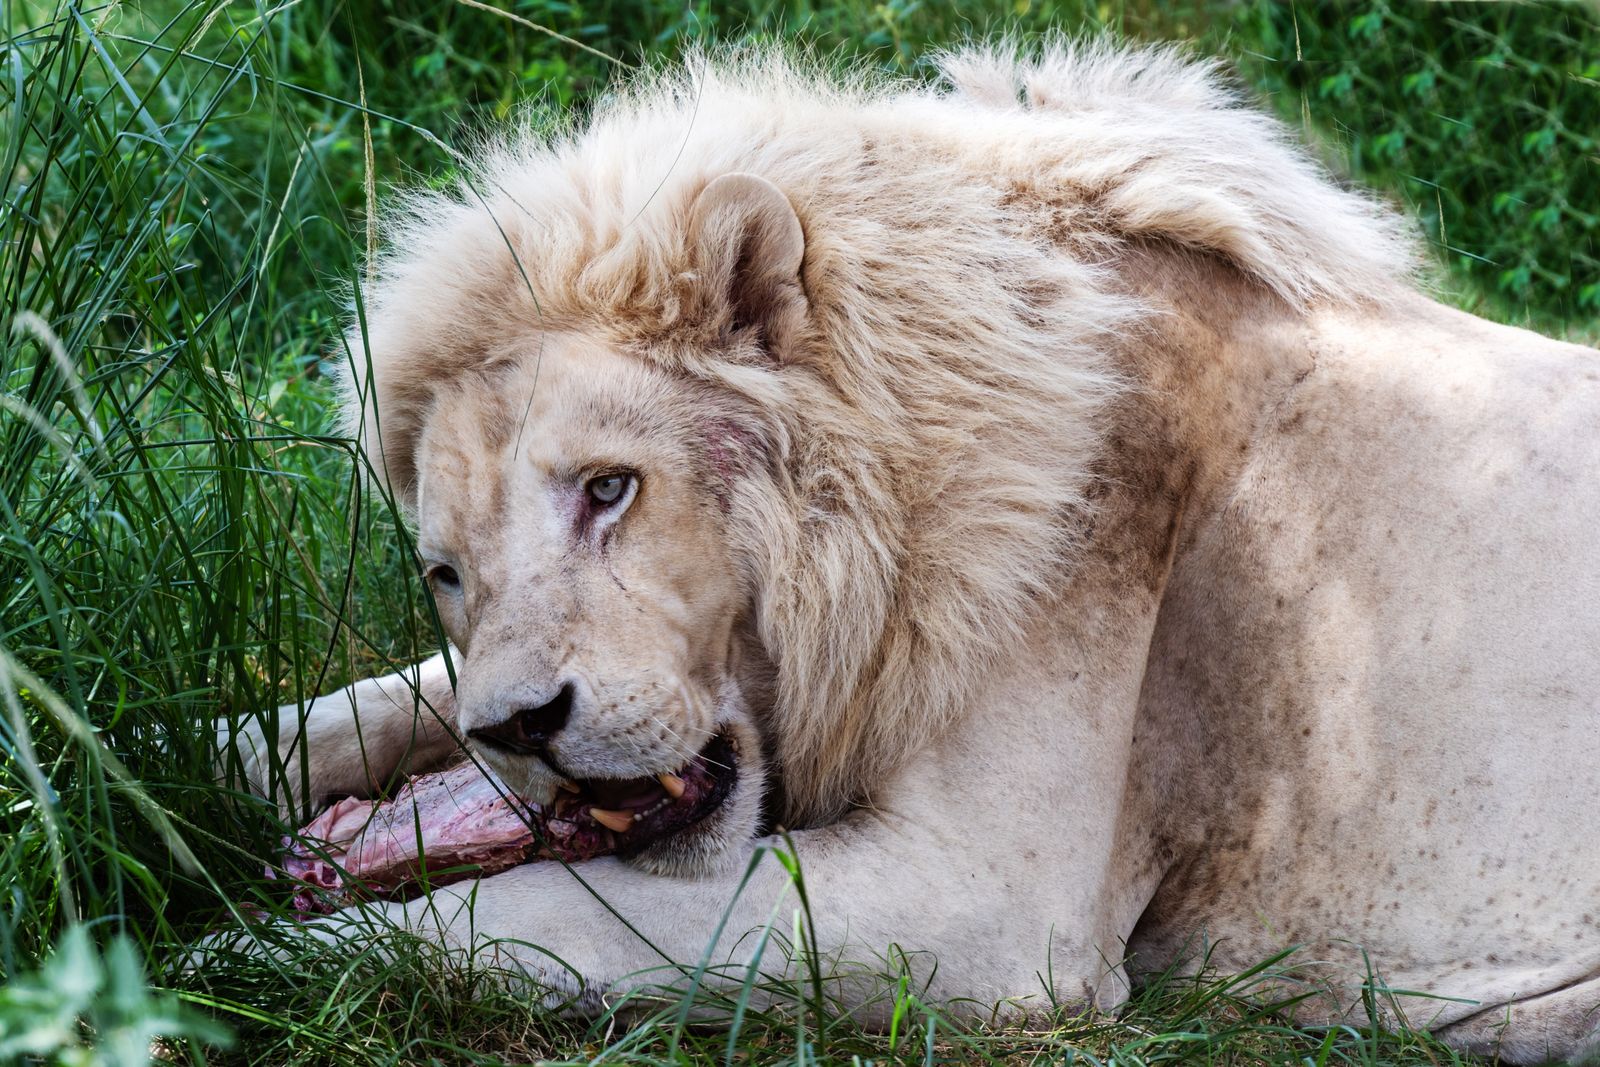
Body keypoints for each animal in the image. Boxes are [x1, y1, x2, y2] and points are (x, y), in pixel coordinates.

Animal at [221, 41, 1600, 1062]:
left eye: (609, 488)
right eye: (445, 573)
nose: (515, 727)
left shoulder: (987, 901)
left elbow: (561, 908)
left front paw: (246, 955)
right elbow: (347, 717)